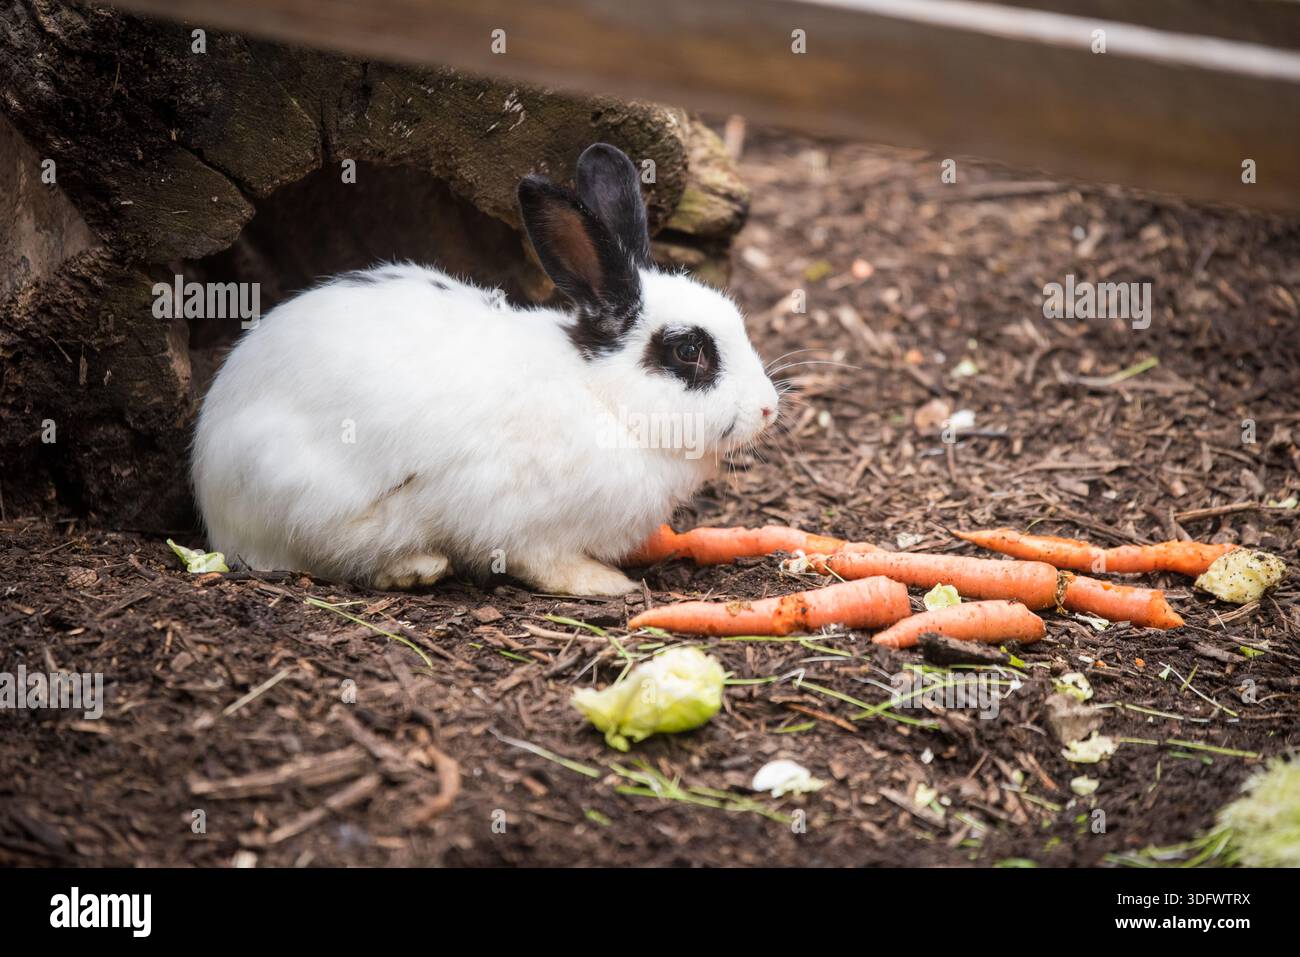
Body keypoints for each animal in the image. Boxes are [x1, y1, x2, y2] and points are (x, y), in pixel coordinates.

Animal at [191, 143, 780, 596]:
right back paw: (417, 568)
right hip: (305, 498)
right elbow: (542, 561)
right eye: (687, 351)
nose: (769, 409)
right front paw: (605, 584)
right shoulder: (519, 522)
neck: (603, 397)